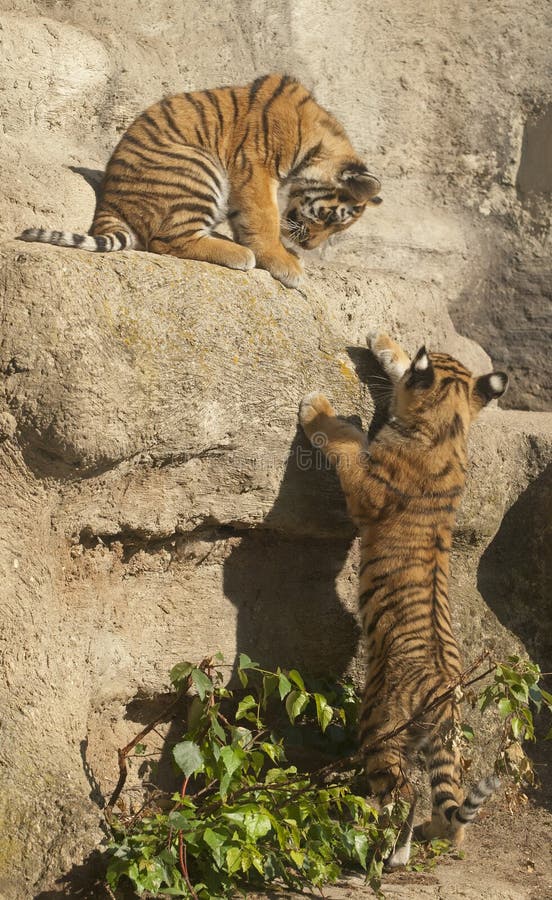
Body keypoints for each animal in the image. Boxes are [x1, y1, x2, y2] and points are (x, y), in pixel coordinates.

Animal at [19, 73, 382, 289]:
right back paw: (238, 254)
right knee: (167, 241)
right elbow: (264, 218)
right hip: (198, 168)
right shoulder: (254, 167)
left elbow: (246, 220)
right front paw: (285, 264)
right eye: (331, 219)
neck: (316, 143)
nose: (309, 247)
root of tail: (109, 204)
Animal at [299, 331, 508, 866]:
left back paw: (384, 850)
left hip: (380, 724)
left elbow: (345, 442)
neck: (449, 428)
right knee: (448, 801)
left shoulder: (366, 485)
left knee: (402, 793)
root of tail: (446, 693)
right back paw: (436, 833)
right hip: (441, 743)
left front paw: (317, 408)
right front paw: (382, 343)